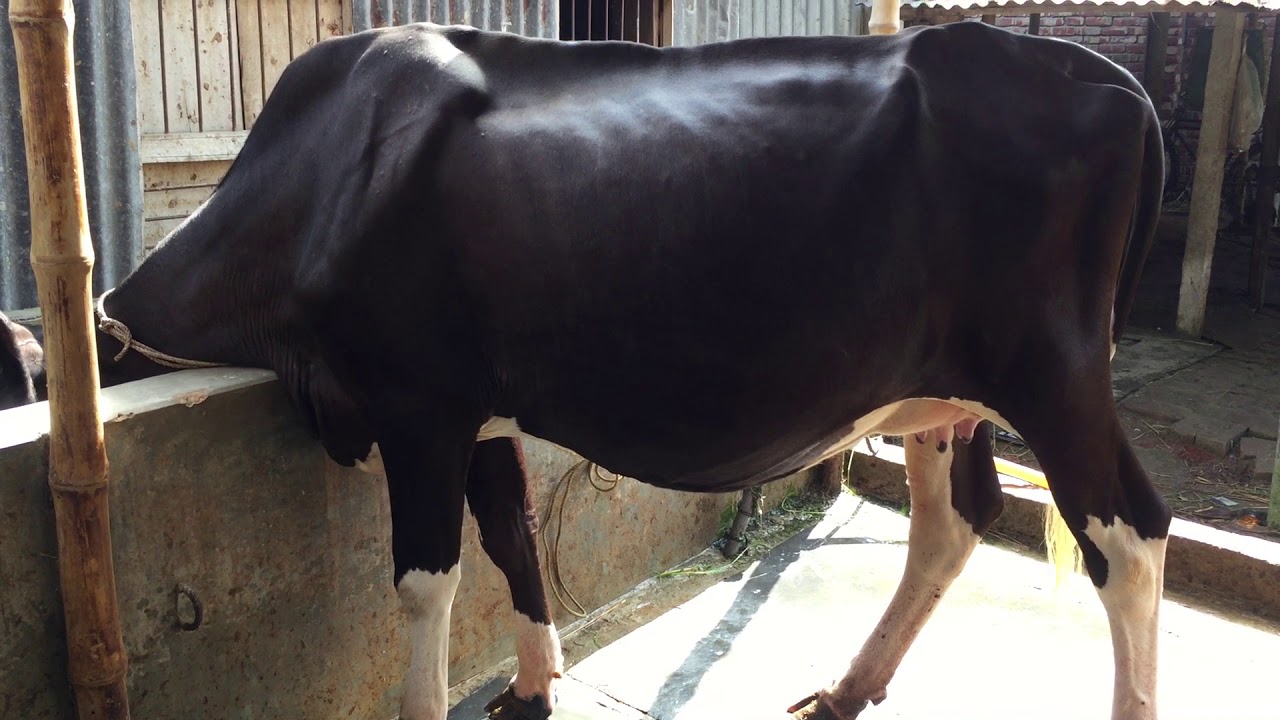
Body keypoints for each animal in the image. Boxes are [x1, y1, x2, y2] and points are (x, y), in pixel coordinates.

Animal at [0, 18, 1167, 720]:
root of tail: (1095, 69)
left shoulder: (418, 403)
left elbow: (424, 581)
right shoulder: (479, 410)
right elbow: (512, 535)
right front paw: (531, 684)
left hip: (1055, 373)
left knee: (1129, 535)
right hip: (941, 388)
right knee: (952, 517)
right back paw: (846, 687)